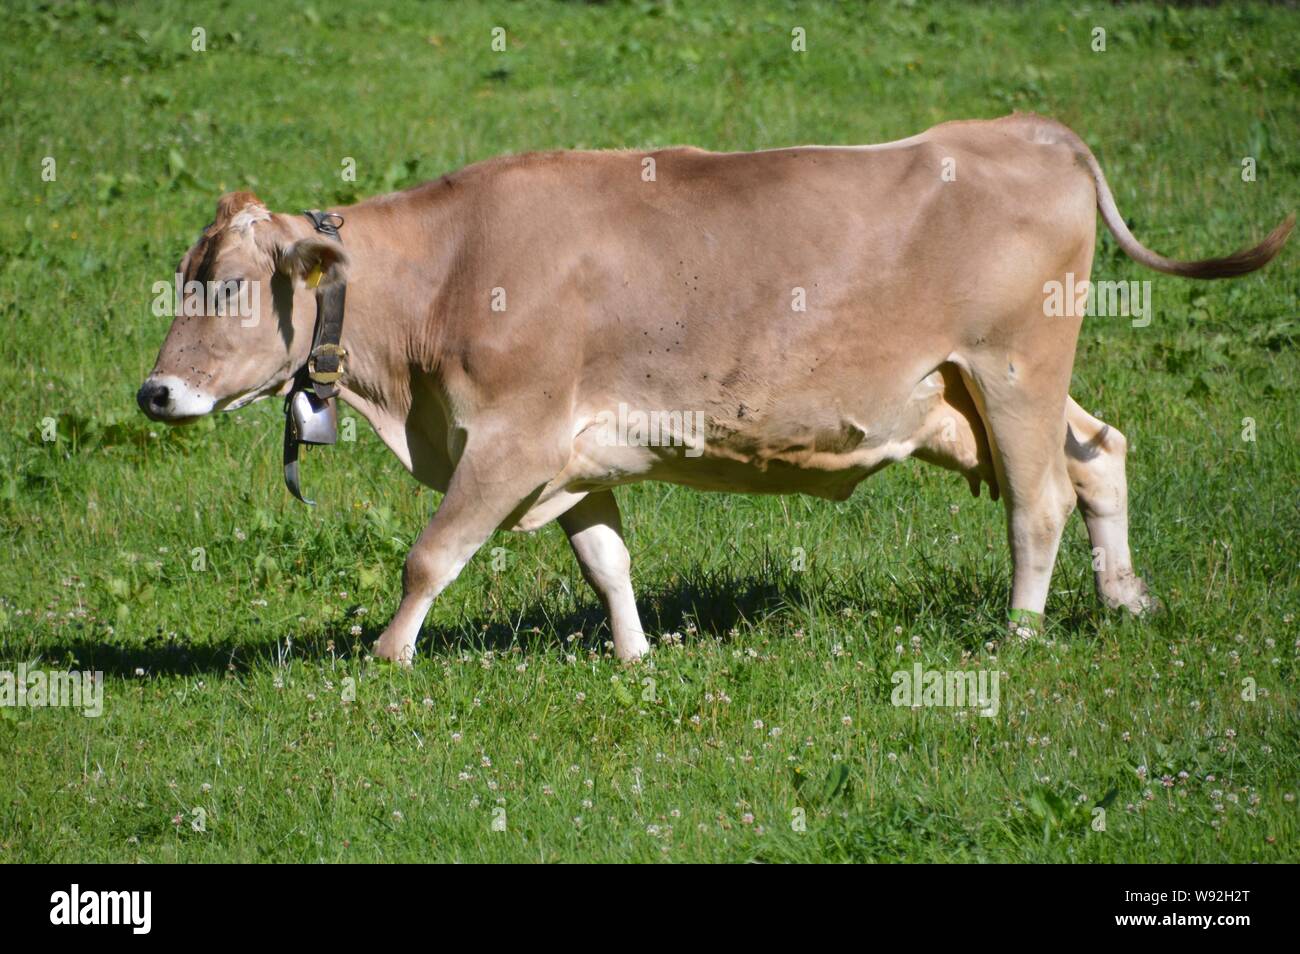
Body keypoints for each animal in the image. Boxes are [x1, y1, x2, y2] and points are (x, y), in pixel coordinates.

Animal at [137, 113, 1292, 664]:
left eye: (228, 284)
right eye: (185, 275)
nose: (154, 394)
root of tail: (1024, 128)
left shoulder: (510, 438)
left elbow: (431, 555)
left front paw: (385, 660)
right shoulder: (570, 452)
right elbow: (606, 559)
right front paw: (637, 658)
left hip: (1012, 368)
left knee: (1040, 499)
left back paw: (1018, 633)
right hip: (968, 396)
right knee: (1098, 454)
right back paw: (1125, 599)